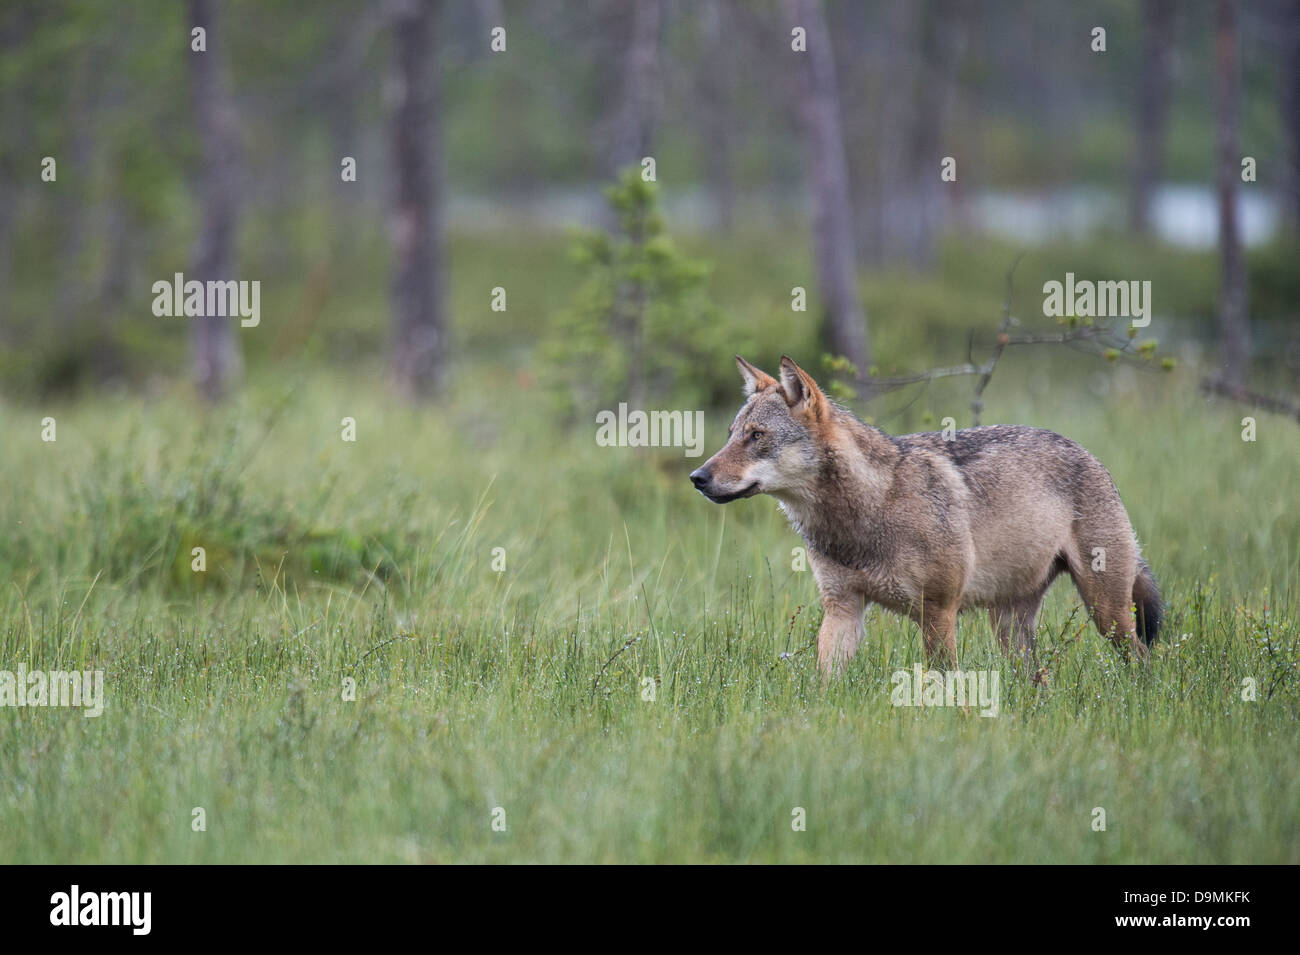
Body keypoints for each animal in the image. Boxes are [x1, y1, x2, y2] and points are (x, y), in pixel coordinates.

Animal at [690, 356, 1162, 677]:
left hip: (1107, 613)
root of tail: (1090, 455)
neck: (870, 509)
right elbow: (824, 680)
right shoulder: (842, 608)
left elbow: (942, 679)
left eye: (756, 436)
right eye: (731, 435)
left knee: (1142, 661)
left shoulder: (938, 610)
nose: (697, 477)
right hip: (1010, 629)